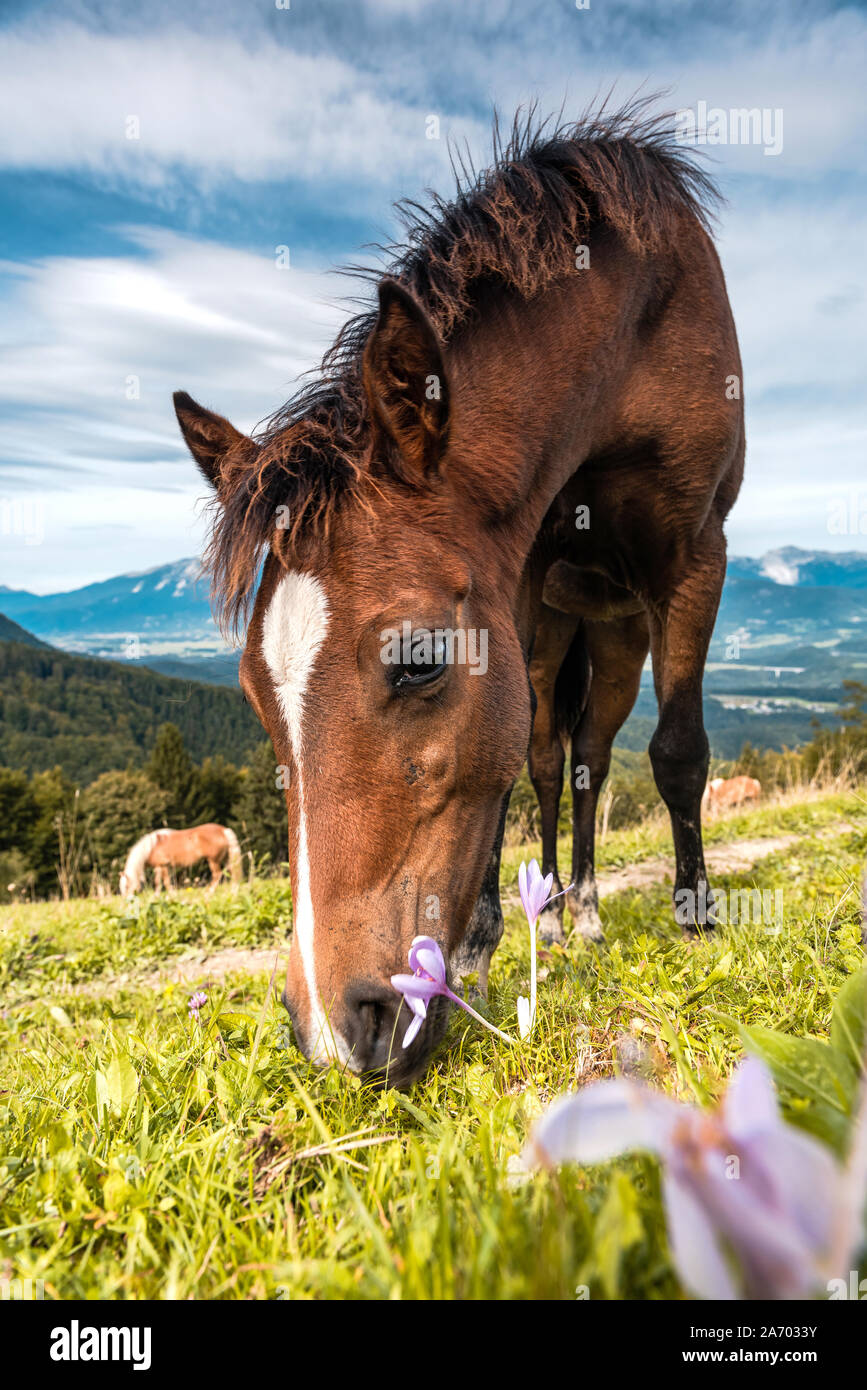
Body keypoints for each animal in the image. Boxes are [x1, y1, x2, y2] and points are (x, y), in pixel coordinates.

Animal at [174, 100, 744, 1084]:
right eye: (252, 693)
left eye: (418, 660)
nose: (336, 1031)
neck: (635, 329)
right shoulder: (514, 586)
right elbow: (513, 765)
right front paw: (480, 943)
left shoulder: (691, 555)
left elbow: (677, 753)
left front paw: (696, 916)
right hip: (557, 625)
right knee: (555, 761)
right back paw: (557, 916)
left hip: (619, 632)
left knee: (592, 758)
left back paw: (586, 911)